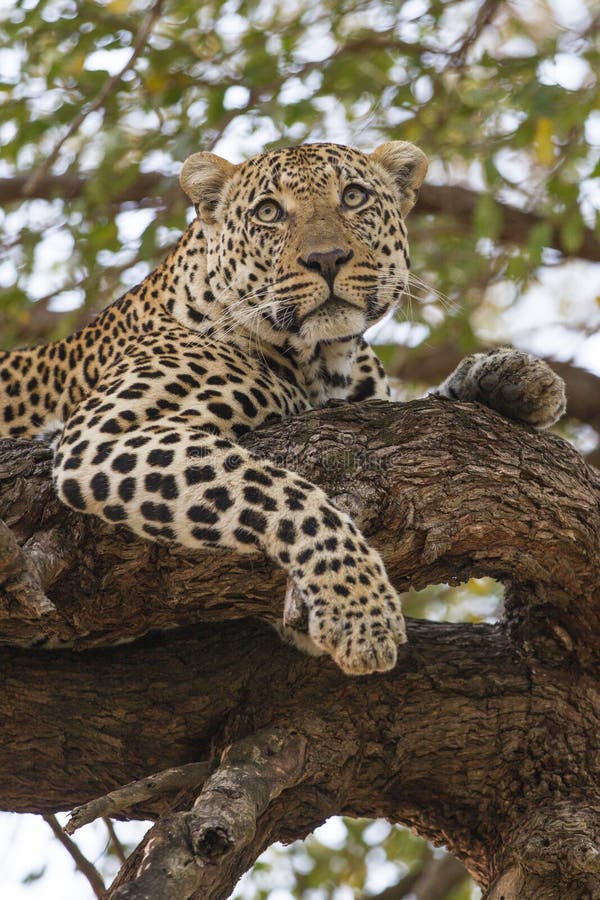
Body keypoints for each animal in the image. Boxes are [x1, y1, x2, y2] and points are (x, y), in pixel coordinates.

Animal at [0, 141, 566, 675]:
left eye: (353, 197)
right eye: (269, 212)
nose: (327, 259)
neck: (324, 364)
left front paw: (511, 377)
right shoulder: (105, 436)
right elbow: (286, 493)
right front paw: (360, 609)